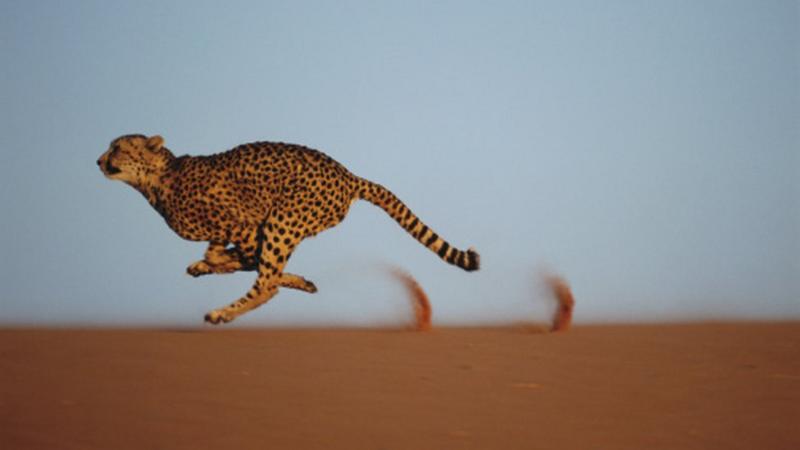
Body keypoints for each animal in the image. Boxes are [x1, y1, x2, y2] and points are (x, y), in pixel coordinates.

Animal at [97, 134, 480, 325]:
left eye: (117, 147)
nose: (99, 160)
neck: (158, 178)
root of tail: (348, 174)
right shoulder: (238, 232)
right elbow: (221, 255)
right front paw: (207, 264)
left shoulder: (248, 226)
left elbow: (247, 262)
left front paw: (217, 265)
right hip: (288, 223)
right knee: (266, 274)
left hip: (283, 220)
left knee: (266, 284)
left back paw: (222, 313)